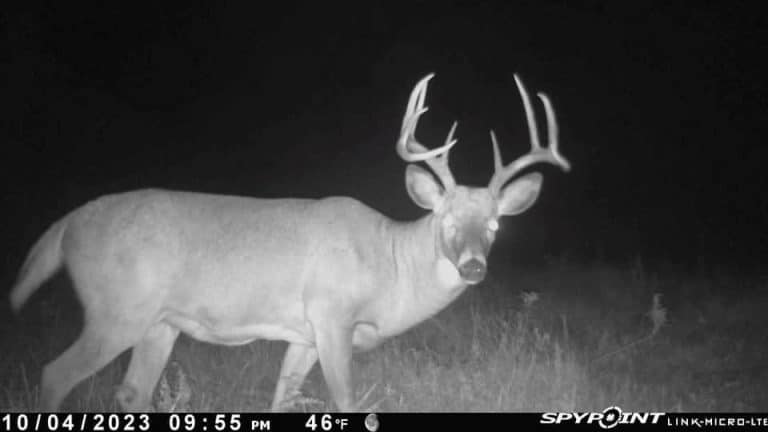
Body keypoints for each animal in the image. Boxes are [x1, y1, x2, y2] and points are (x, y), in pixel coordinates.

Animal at [10, 73, 570, 412]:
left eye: (495, 224)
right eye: (446, 219)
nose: (474, 266)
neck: (388, 268)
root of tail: (68, 224)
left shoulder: (302, 335)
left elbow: (281, 401)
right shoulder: (332, 316)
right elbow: (347, 402)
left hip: (158, 323)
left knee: (130, 392)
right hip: (117, 309)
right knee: (55, 374)